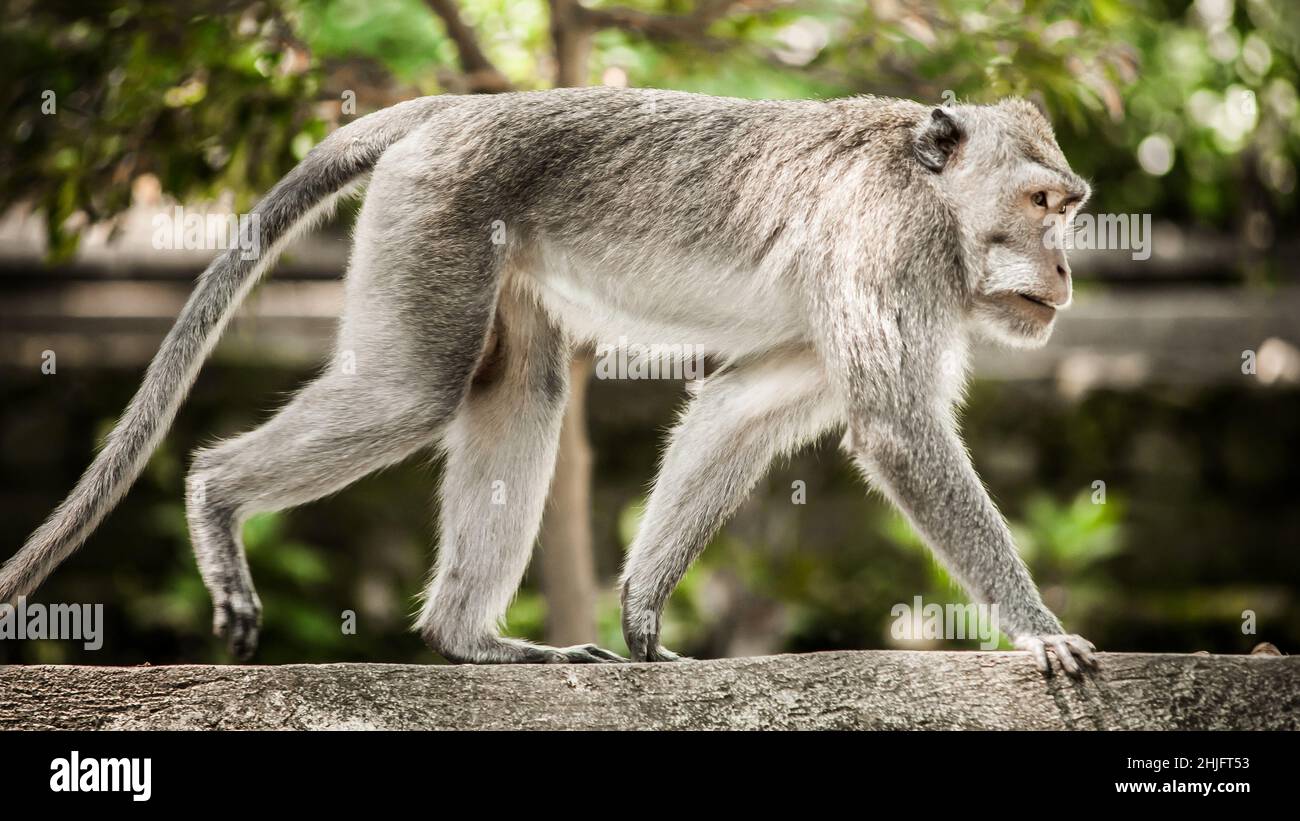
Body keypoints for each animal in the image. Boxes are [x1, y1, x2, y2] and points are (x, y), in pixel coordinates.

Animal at [2, 87, 1097, 675]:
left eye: (1071, 206)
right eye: (1041, 202)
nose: (1065, 271)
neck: (931, 195)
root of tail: (459, 106)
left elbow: (739, 408)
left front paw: (644, 609)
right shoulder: (889, 249)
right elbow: (897, 433)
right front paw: (1040, 632)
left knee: (516, 388)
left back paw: (471, 637)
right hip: (437, 208)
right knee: (414, 388)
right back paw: (216, 497)